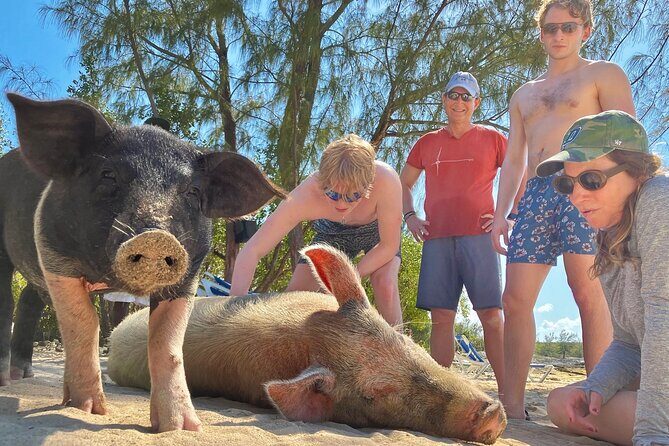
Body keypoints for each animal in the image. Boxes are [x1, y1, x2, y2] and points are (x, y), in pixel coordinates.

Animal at [0, 93, 284, 431]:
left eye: (193, 191)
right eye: (108, 174)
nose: (155, 237)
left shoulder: (188, 277)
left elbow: (167, 344)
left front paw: (181, 427)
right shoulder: (55, 255)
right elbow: (83, 323)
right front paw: (89, 410)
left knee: (29, 299)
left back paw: (23, 374)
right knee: (8, 303)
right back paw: (8, 380)